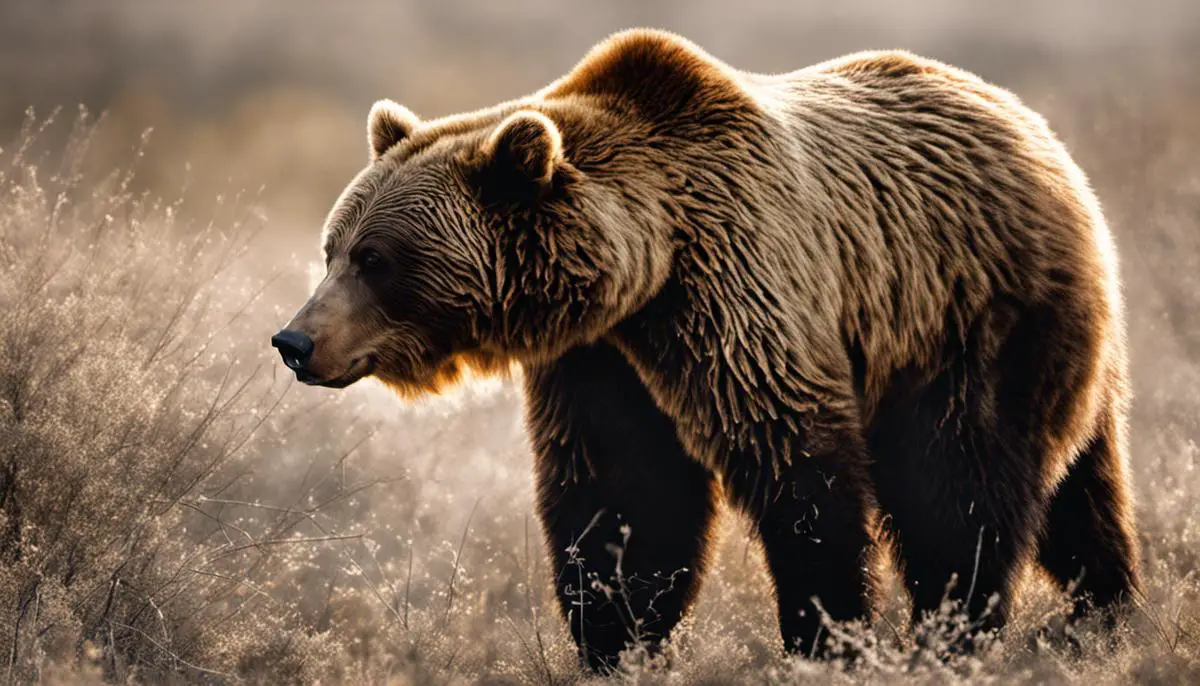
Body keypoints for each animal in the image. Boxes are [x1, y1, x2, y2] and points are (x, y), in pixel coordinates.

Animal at [272, 29, 1142, 670]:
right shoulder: (601, 363)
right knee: (1082, 493)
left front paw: (826, 636)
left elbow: (800, 474)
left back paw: (958, 631)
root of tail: (1034, 129)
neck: (642, 271)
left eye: (376, 258)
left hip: (969, 314)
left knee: (960, 482)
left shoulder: (739, 292)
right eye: (333, 247)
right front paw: (614, 639)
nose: (294, 340)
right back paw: (1106, 612)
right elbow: (624, 498)